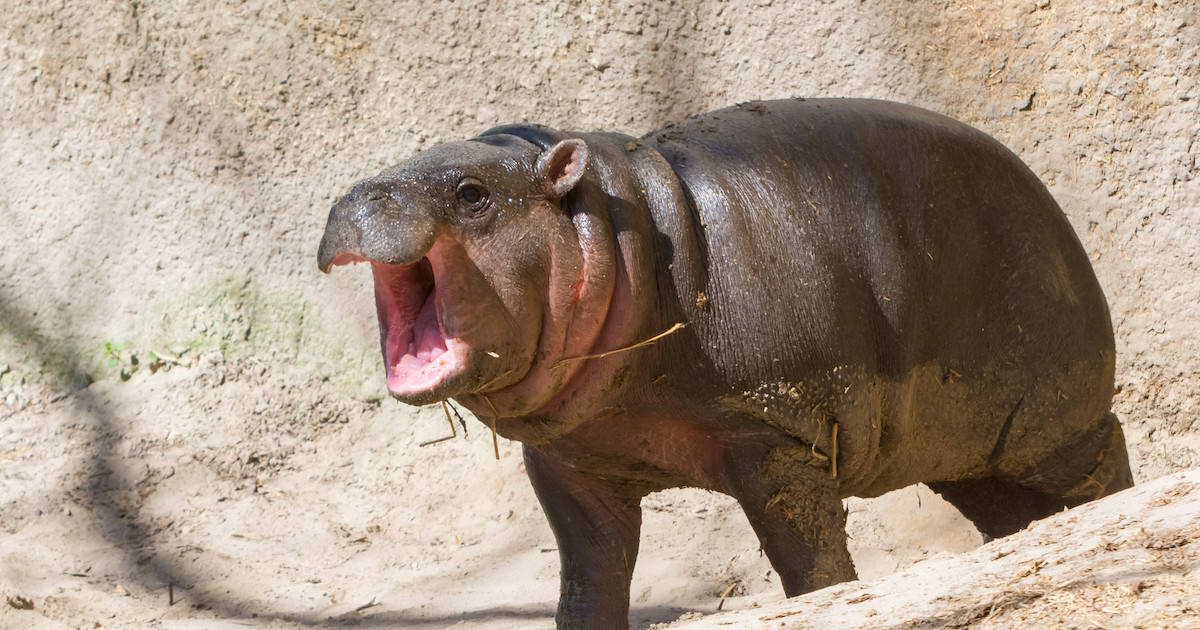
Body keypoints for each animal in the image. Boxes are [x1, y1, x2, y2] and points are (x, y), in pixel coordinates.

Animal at [317, 98, 1133, 629]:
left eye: (472, 192)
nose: (356, 198)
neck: (618, 234)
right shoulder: (570, 464)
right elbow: (590, 576)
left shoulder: (773, 436)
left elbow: (809, 560)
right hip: (966, 448)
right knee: (1008, 509)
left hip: (1051, 425)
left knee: (1103, 462)